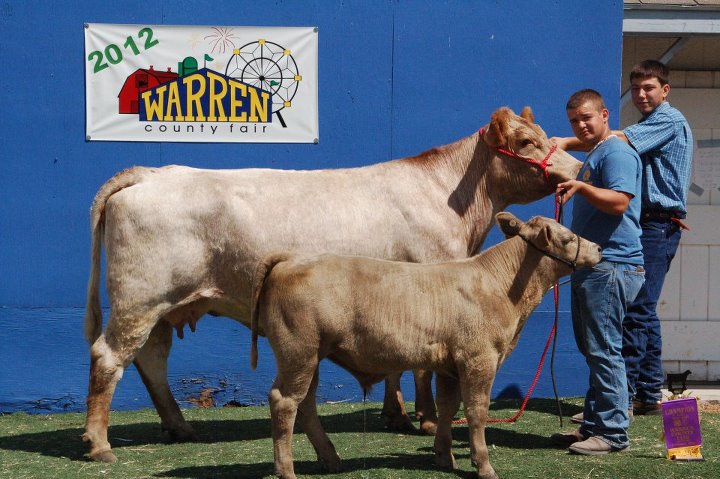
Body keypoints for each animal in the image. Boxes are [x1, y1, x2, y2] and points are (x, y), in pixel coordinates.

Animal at [82, 107, 582, 463]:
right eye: (527, 142)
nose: (579, 168)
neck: (452, 199)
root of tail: (151, 172)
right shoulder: (428, 281)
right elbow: (420, 366)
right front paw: (424, 419)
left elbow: (398, 361)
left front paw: (396, 414)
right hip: (140, 297)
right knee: (109, 357)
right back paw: (99, 443)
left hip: (163, 304)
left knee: (152, 358)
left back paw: (179, 426)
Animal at [250, 213, 602, 479]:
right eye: (568, 239)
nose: (599, 248)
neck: (499, 285)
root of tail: (290, 258)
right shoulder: (480, 358)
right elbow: (477, 411)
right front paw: (484, 466)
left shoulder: (450, 365)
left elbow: (447, 406)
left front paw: (445, 456)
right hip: (299, 351)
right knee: (286, 401)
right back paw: (287, 470)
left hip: (310, 355)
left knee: (306, 403)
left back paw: (331, 459)